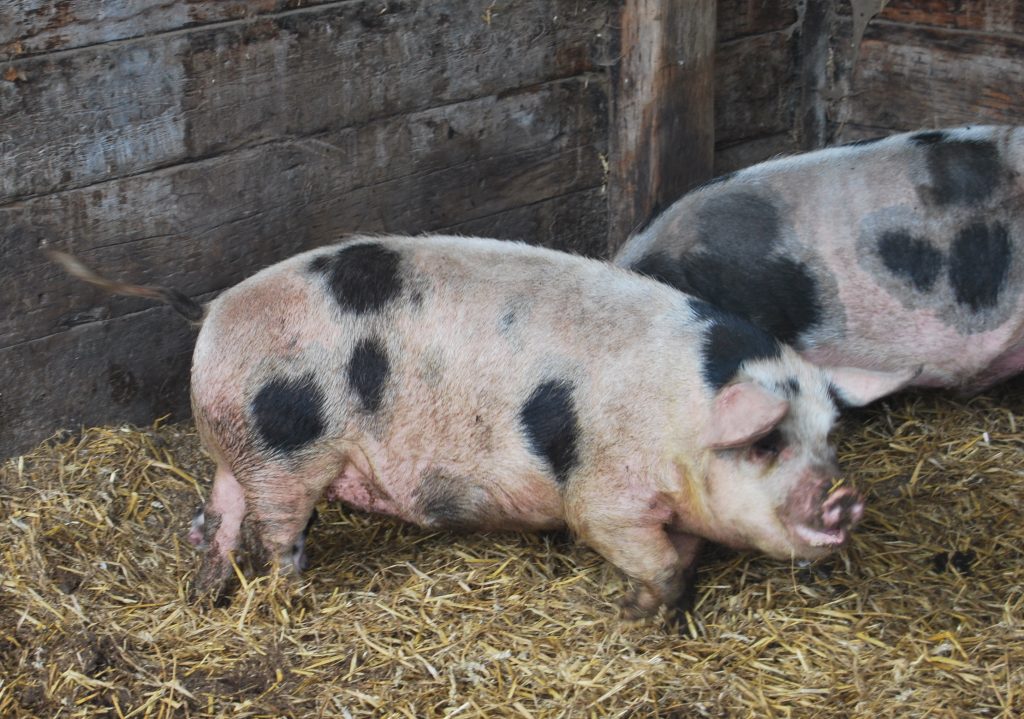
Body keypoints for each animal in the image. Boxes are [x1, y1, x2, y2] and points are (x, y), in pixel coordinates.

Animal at [49, 236, 914, 617]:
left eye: (829, 438)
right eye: (767, 441)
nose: (843, 498)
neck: (684, 418)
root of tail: (212, 307)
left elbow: (687, 555)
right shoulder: (603, 495)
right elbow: (653, 556)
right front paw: (642, 614)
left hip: (244, 450)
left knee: (221, 517)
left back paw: (207, 594)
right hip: (287, 454)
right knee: (274, 531)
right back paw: (294, 591)